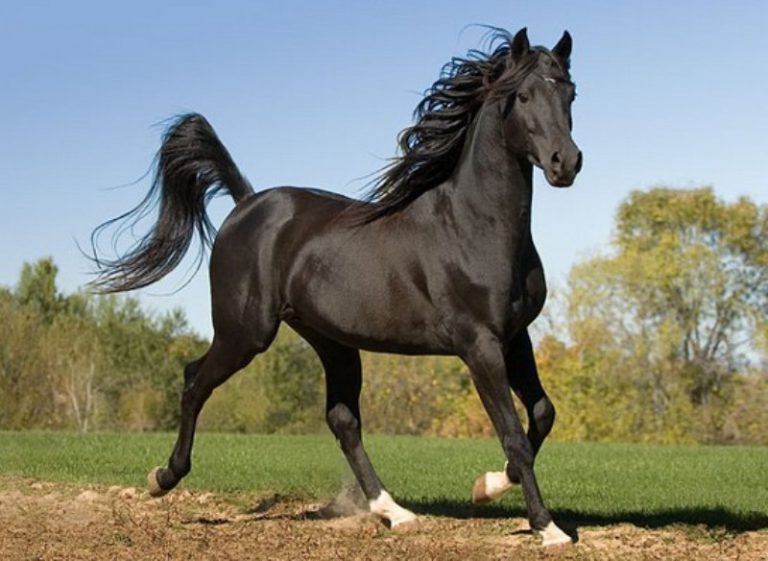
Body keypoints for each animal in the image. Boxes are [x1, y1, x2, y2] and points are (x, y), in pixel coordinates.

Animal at [91, 27, 582, 546]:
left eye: (570, 93)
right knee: (194, 381)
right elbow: (514, 435)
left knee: (343, 421)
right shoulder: (479, 345)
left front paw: (485, 486)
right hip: (246, 333)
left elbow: (543, 414)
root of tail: (246, 204)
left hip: (332, 341)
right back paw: (162, 478)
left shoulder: (514, 337)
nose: (565, 163)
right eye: (523, 95)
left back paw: (395, 512)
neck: (472, 227)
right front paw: (548, 528)